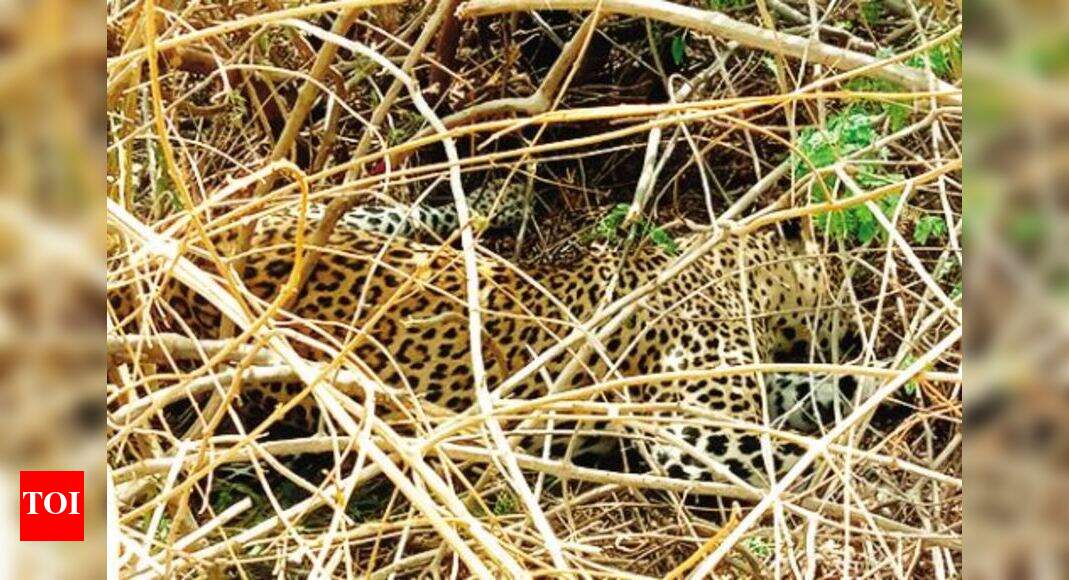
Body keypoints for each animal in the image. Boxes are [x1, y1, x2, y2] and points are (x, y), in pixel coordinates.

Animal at [108, 180, 869, 486]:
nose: (855, 334)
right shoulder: (704, 436)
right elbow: (794, 441)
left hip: (352, 222)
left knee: (407, 210)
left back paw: (501, 198)